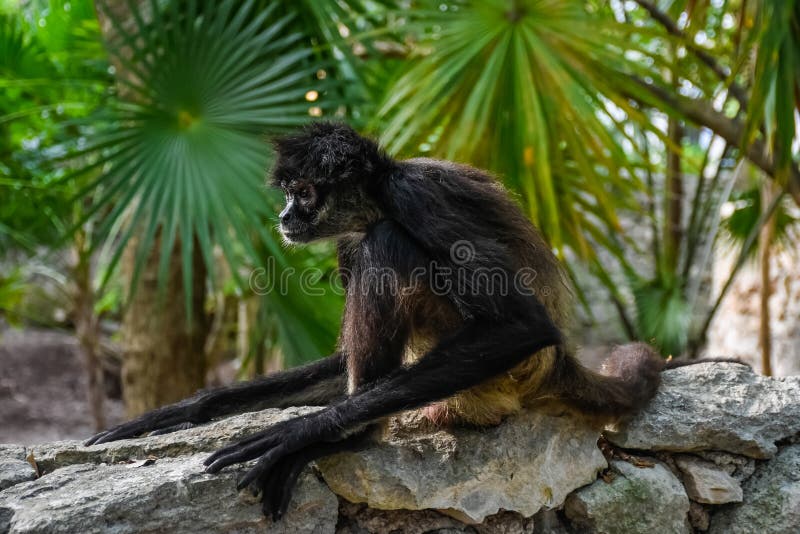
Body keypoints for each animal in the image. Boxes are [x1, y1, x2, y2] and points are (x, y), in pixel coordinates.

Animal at [87, 121, 666, 521]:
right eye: (289, 193)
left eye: (304, 193)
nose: (284, 216)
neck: (380, 193)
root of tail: (555, 363)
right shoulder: (347, 236)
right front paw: (183, 410)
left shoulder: (415, 194)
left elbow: (521, 324)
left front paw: (299, 432)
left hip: (504, 373)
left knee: (386, 242)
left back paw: (354, 436)